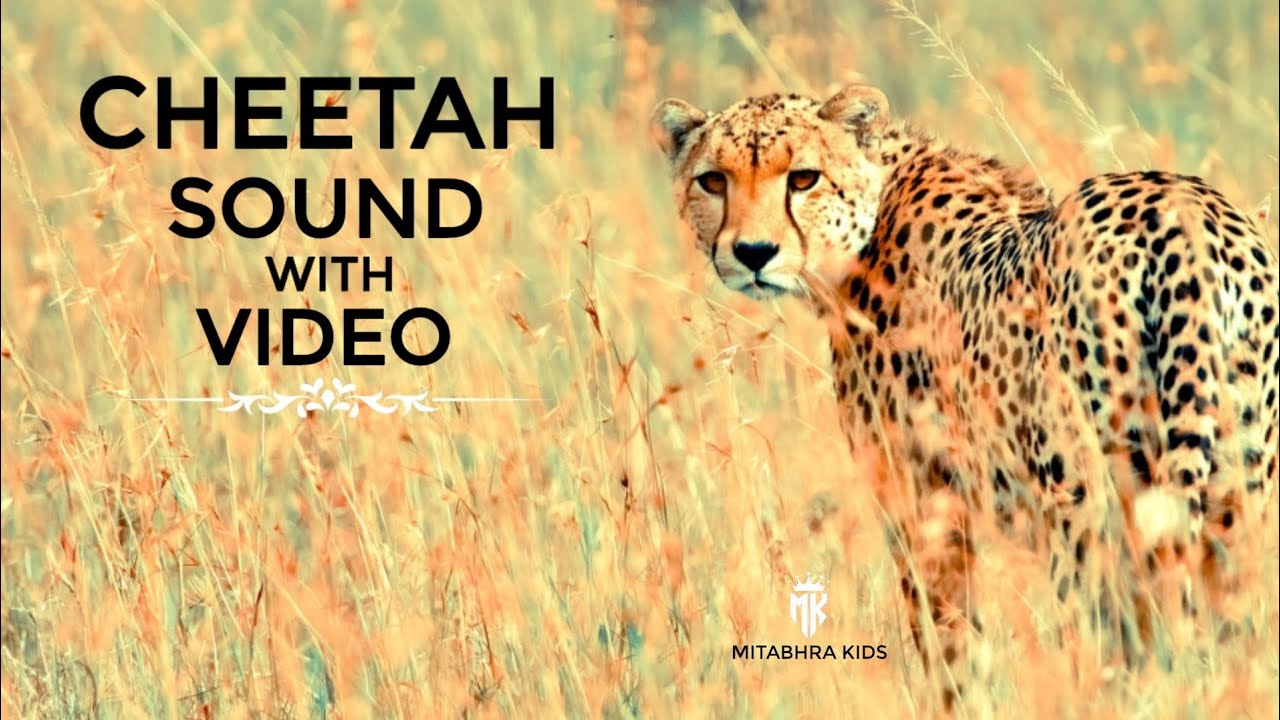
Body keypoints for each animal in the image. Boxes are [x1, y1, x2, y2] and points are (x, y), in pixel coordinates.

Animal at [651, 84, 1278, 709]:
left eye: (803, 178)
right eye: (713, 180)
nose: (754, 252)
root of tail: (1181, 212)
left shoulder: (924, 502)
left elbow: (948, 644)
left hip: (1088, 503)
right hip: (1236, 493)